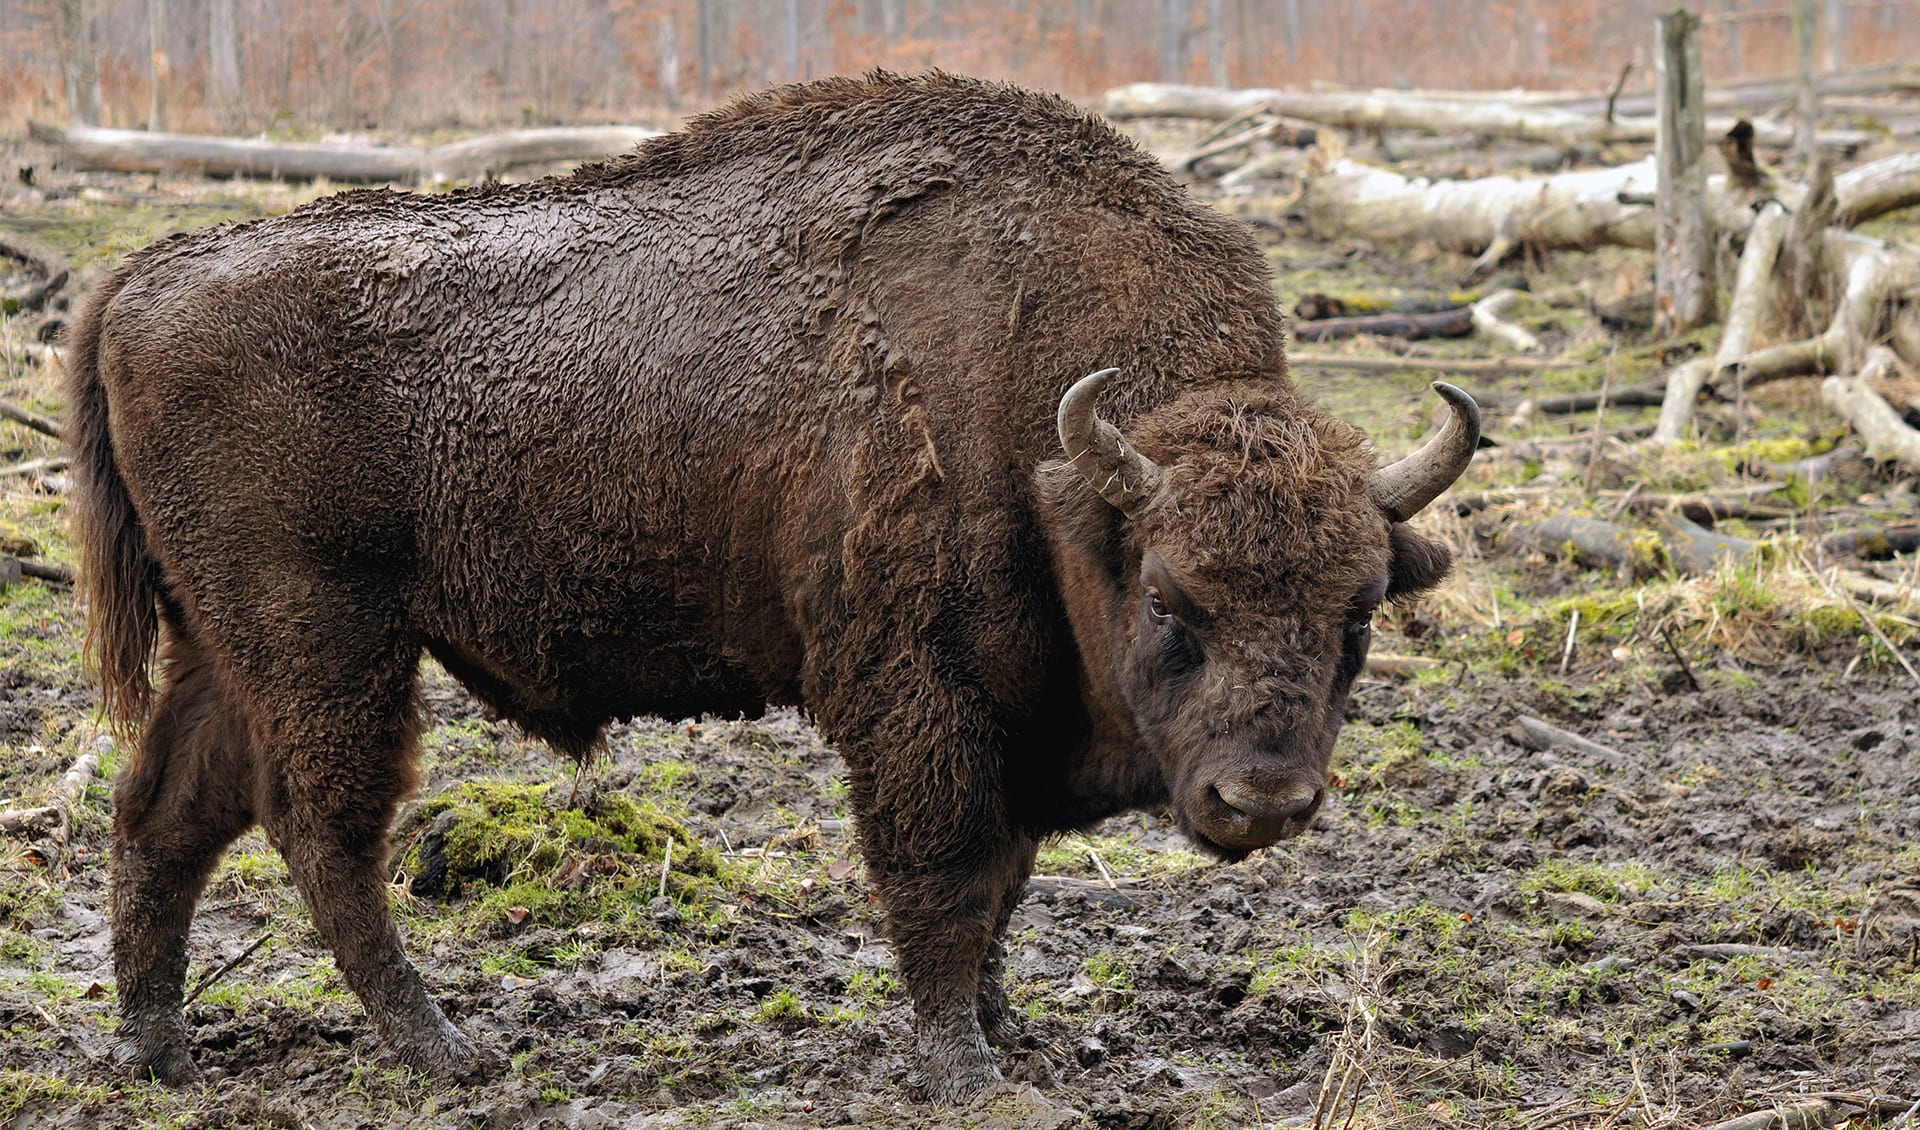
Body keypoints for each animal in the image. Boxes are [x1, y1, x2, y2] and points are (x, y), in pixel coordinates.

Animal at [69, 71, 1477, 1101]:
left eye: (1359, 613)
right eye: (1174, 600)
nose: (1265, 798)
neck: (1057, 454)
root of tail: (141, 273)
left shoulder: (1010, 713)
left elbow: (1005, 880)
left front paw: (1006, 1029)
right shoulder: (920, 694)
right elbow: (947, 870)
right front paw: (964, 1067)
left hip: (226, 643)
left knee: (165, 810)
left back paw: (155, 1047)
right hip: (327, 639)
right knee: (318, 826)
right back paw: (448, 1049)